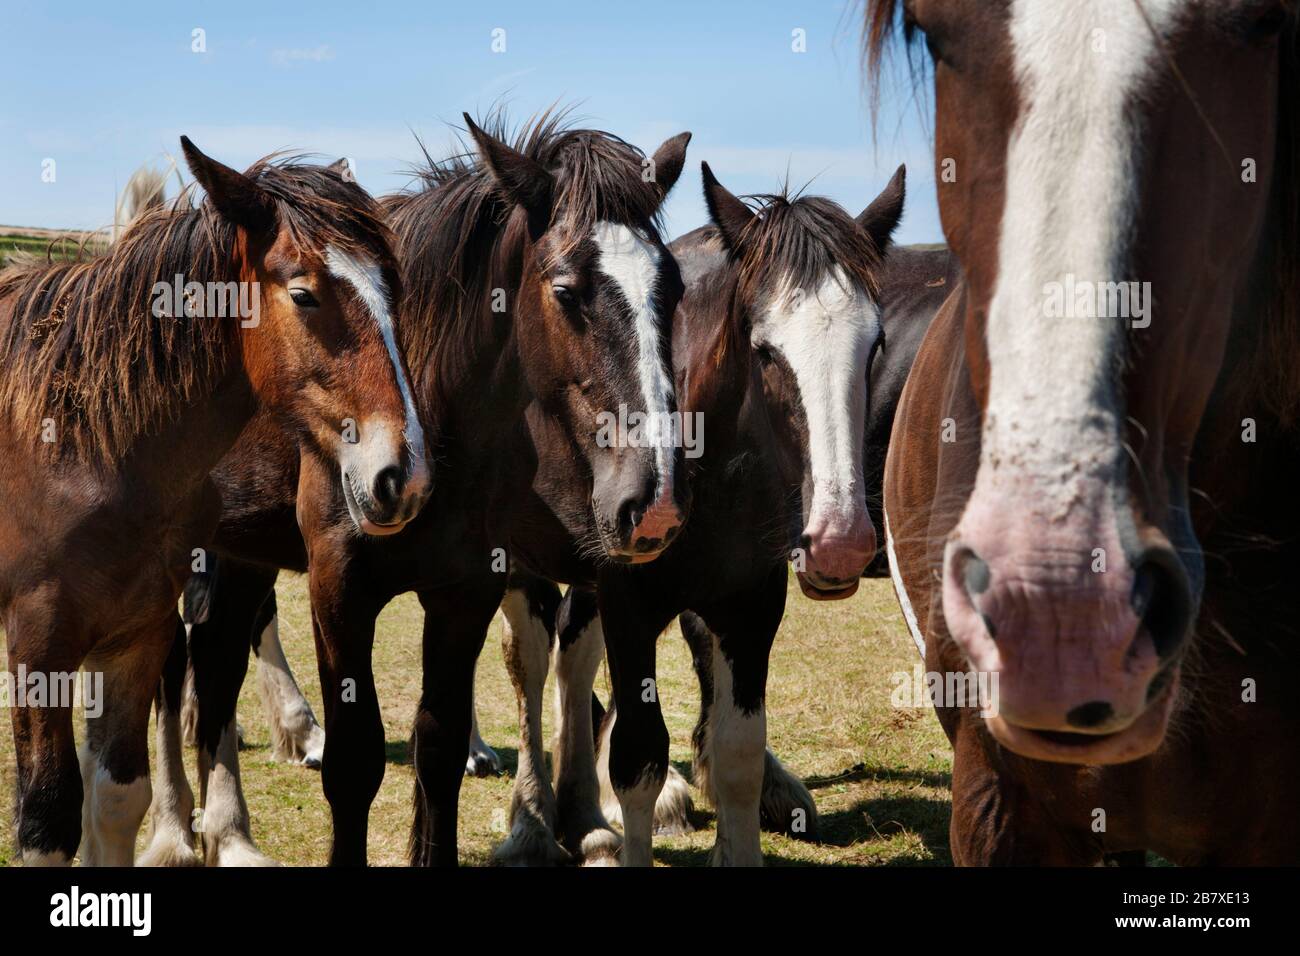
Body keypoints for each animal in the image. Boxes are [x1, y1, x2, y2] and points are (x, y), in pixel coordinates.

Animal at [0, 138, 430, 865]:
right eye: (303, 294)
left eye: (396, 293)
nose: (403, 475)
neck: (88, 442)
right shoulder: (39, 643)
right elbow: (48, 820)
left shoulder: (136, 636)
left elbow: (115, 798)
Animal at [143, 110, 694, 866]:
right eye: (565, 290)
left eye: (675, 290)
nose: (655, 500)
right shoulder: (338, 587)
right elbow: (354, 763)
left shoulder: (466, 592)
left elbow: (438, 750)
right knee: (176, 674)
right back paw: (174, 833)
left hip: (243, 552)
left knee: (217, 665)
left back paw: (229, 834)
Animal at [494, 161, 905, 865]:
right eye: (764, 349)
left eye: (874, 344)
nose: (840, 542)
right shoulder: (632, 603)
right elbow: (638, 760)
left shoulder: (751, 607)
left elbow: (739, 751)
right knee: (533, 657)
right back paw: (534, 820)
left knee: (575, 650)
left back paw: (583, 814)